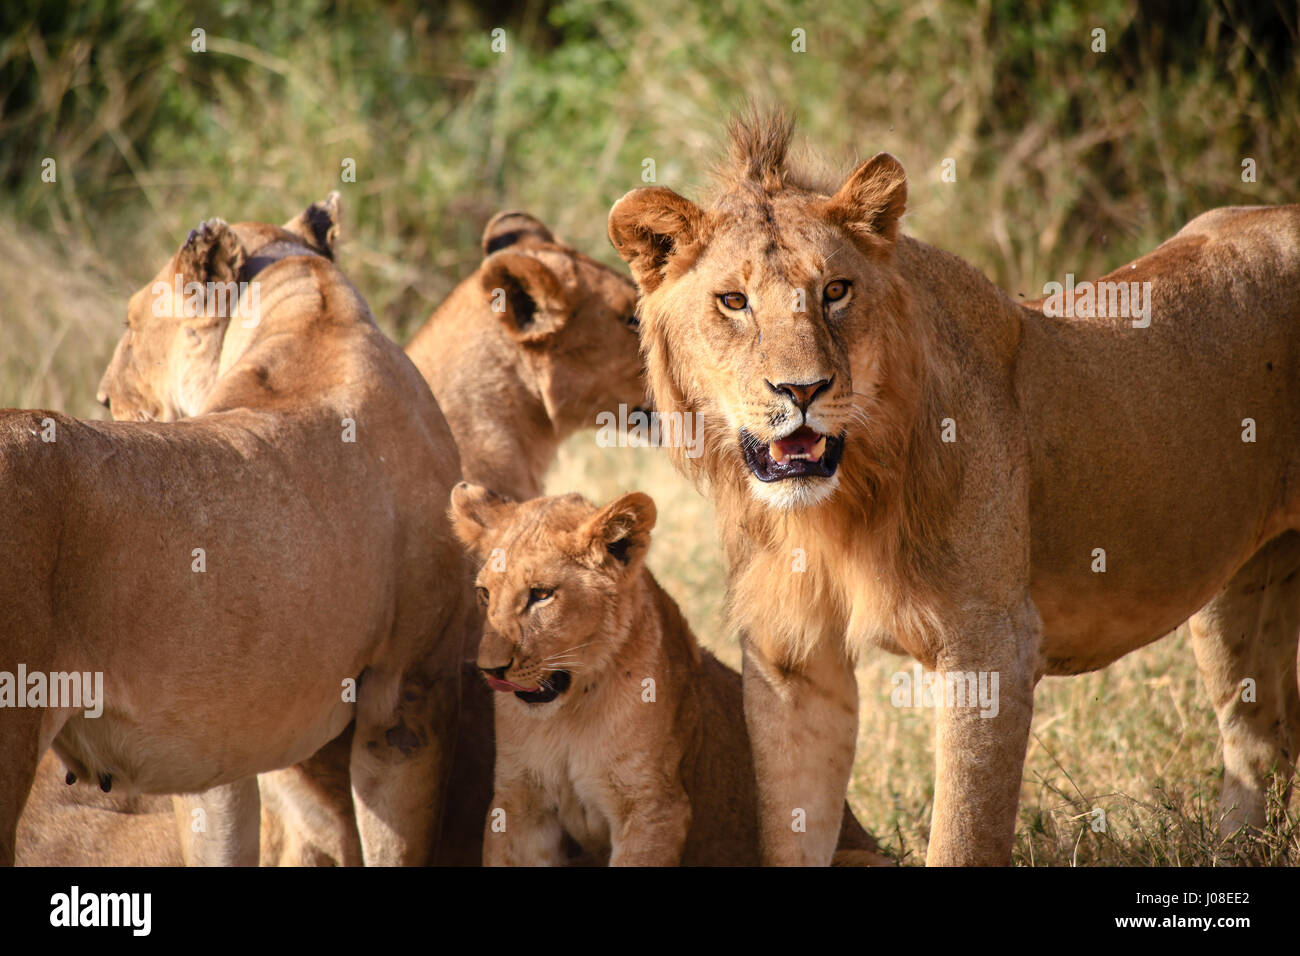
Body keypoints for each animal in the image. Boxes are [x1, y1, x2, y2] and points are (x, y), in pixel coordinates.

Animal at [449, 483, 890, 866]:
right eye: (484, 593)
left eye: (542, 594)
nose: (490, 669)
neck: (570, 713)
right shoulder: (518, 804)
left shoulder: (655, 807)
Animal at [607, 110, 1300, 866]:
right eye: (733, 301)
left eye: (835, 291)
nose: (802, 390)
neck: (838, 507)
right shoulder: (791, 661)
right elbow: (789, 832)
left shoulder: (988, 647)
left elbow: (962, 835)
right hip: (1236, 588)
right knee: (1258, 737)